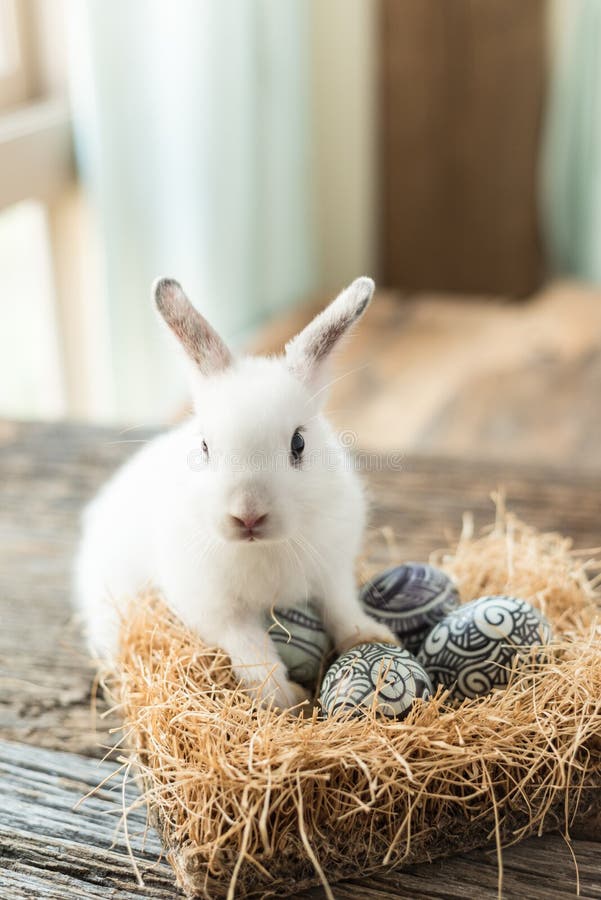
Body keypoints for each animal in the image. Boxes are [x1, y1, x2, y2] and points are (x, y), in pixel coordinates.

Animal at [74, 276, 398, 709]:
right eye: (204, 446)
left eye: (298, 443)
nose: (248, 515)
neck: (260, 548)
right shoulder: (213, 607)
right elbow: (251, 649)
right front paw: (287, 699)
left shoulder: (333, 571)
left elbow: (341, 607)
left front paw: (373, 637)